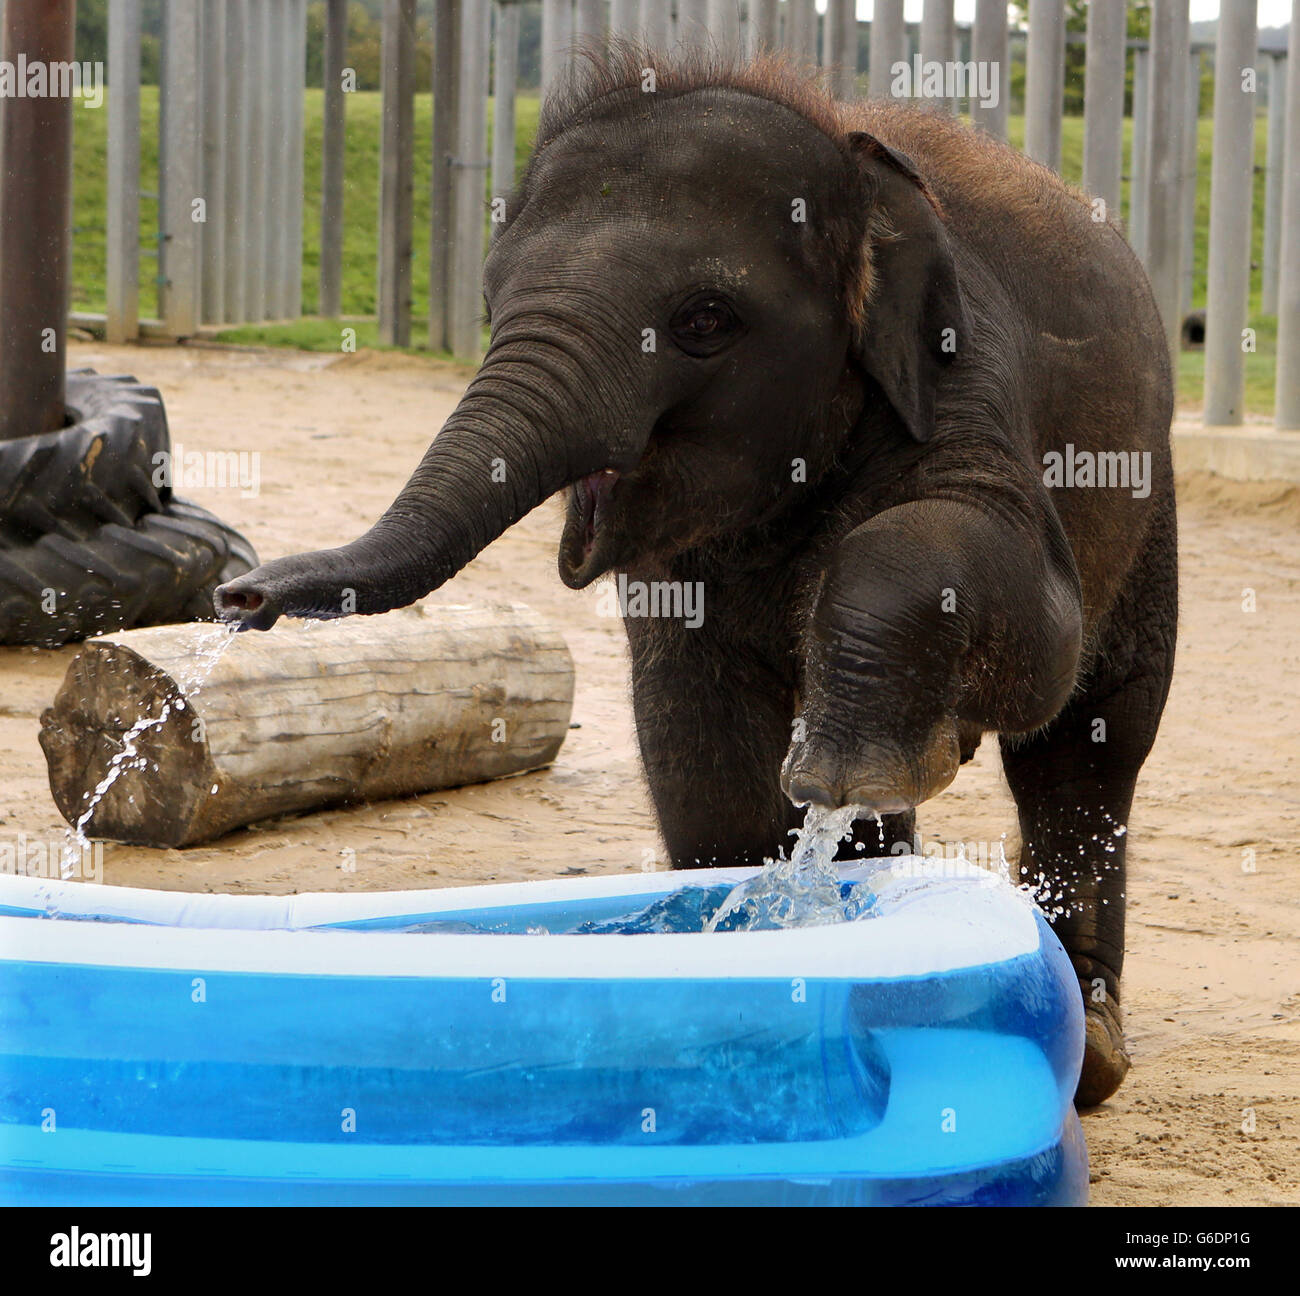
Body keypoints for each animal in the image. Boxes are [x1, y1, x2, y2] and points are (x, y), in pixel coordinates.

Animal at [216, 52, 1178, 1108]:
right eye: (490, 301)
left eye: (705, 321)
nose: (242, 598)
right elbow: (694, 740)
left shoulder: (963, 368)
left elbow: (1034, 624)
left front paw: (838, 777)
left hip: (1153, 497)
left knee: (1093, 742)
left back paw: (1091, 1051)